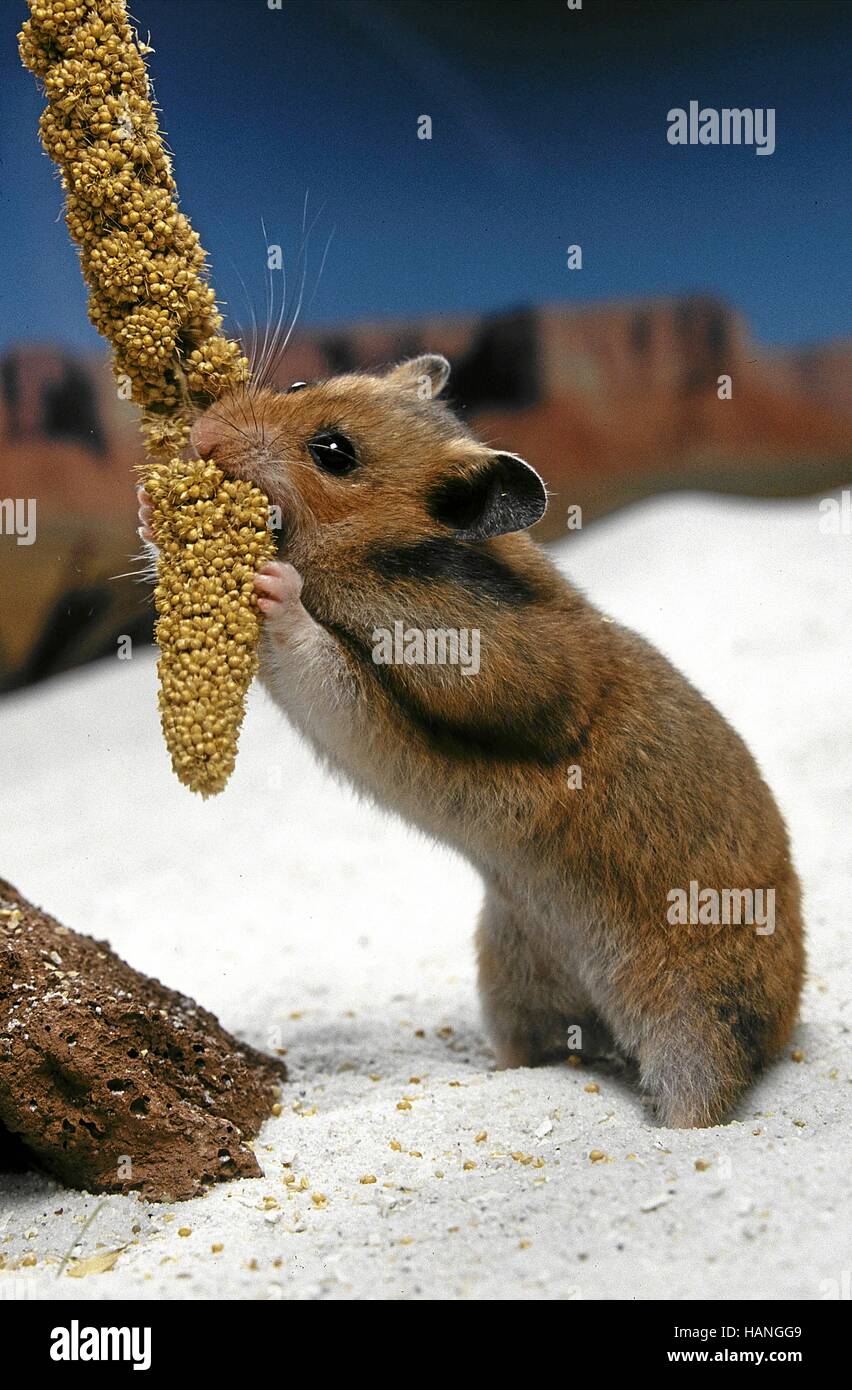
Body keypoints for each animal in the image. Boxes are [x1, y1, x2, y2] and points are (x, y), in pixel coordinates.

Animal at [138, 353, 804, 1127]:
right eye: (301, 385)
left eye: (334, 452)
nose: (202, 434)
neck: (391, 552)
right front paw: (150, 508)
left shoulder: (415, 670)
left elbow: (313, 650)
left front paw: (273, 580)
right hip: (512, 969)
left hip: (691, 1020)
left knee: (703, 1099)